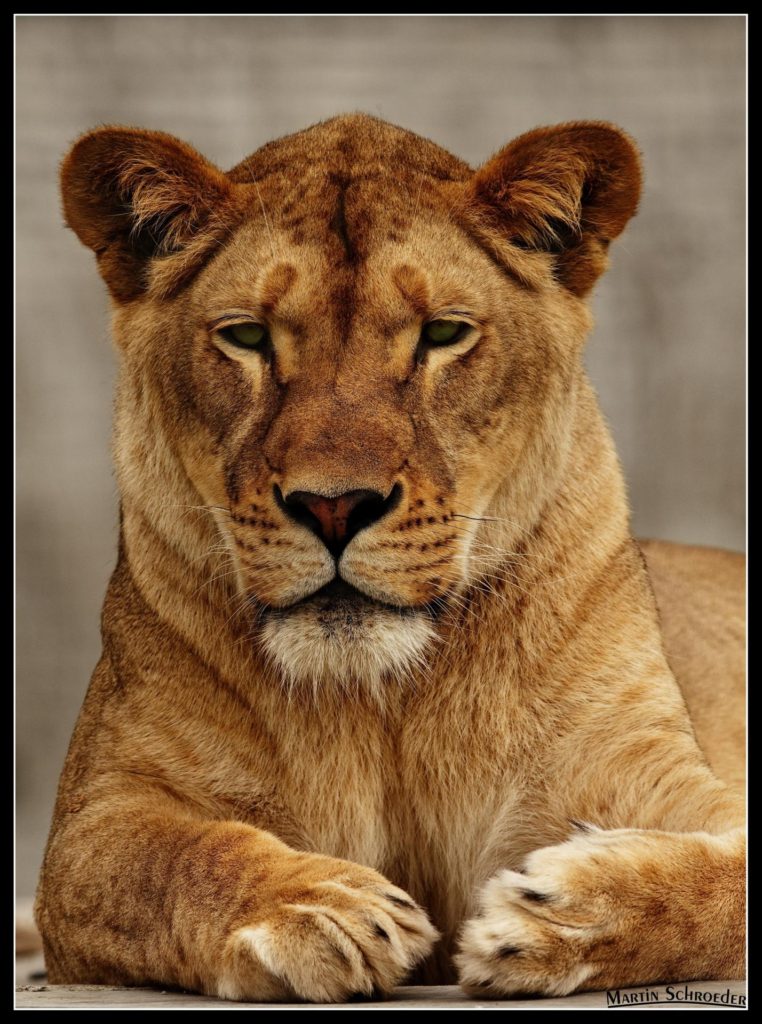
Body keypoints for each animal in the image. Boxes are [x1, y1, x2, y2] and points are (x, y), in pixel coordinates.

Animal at [34, 114, 745, 1002]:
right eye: (247, 337)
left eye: (442, 334)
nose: (335, 505)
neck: (386, 705)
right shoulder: (96, 820)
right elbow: (180, 859)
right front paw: (321, 907)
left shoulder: (651, 773)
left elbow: (719, 881)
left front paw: (558, 913)